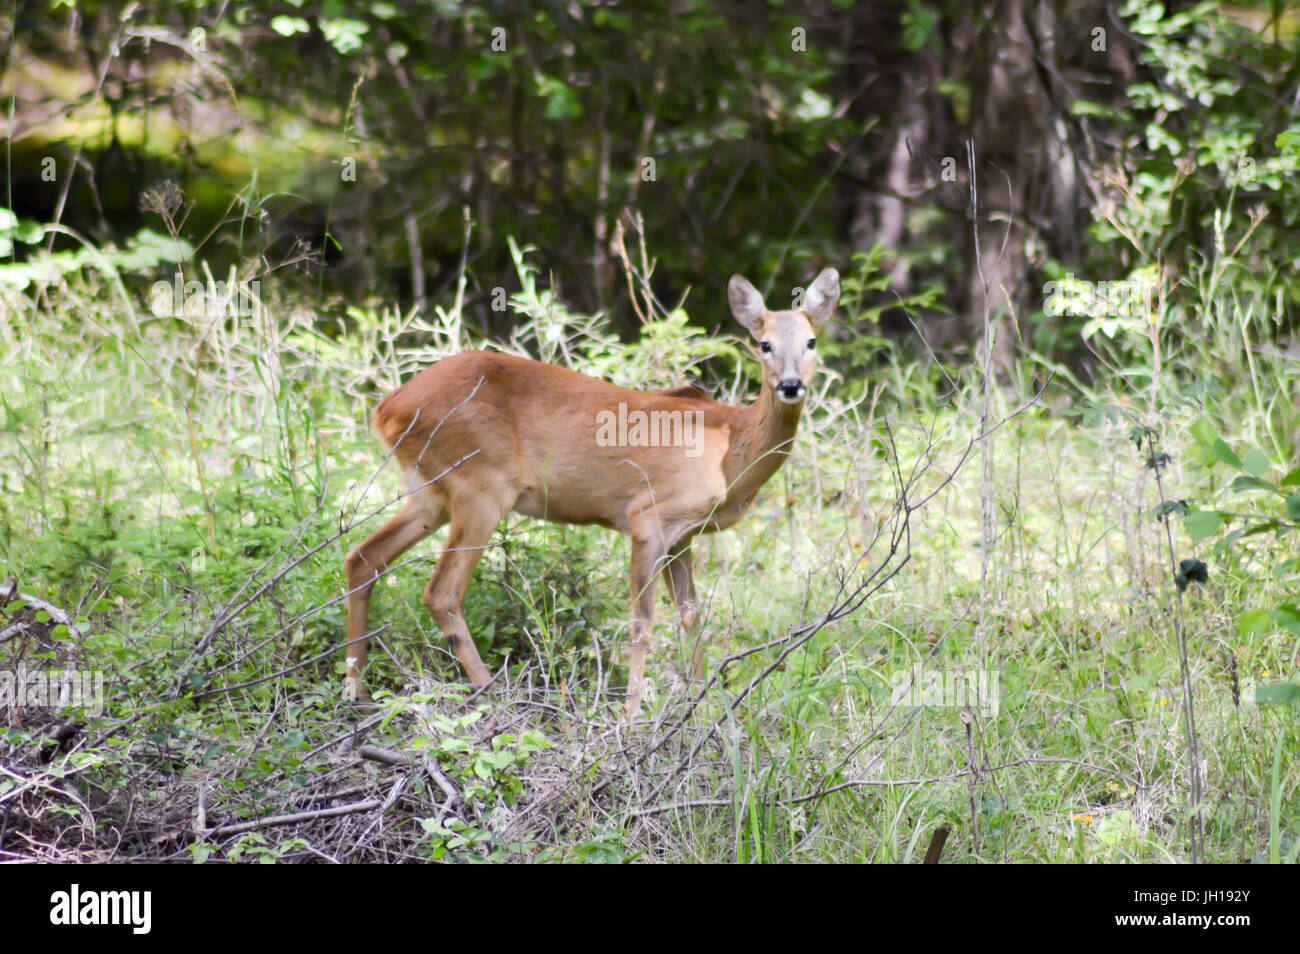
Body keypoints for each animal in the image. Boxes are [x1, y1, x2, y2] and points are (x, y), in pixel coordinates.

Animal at [343, 266, 840, 717]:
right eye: (764, 343)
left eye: (811, 342)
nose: (790, 385)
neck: (732, 448)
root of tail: (386, 408)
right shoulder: (648, 516)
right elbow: (642, 621)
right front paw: (633, 719)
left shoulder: (683, 538)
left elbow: (692, 618)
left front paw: (709, 716)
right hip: (478, 487)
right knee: (441, 592)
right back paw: (492, 696)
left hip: (430, 493)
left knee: (362, 557)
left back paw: (358, 692)